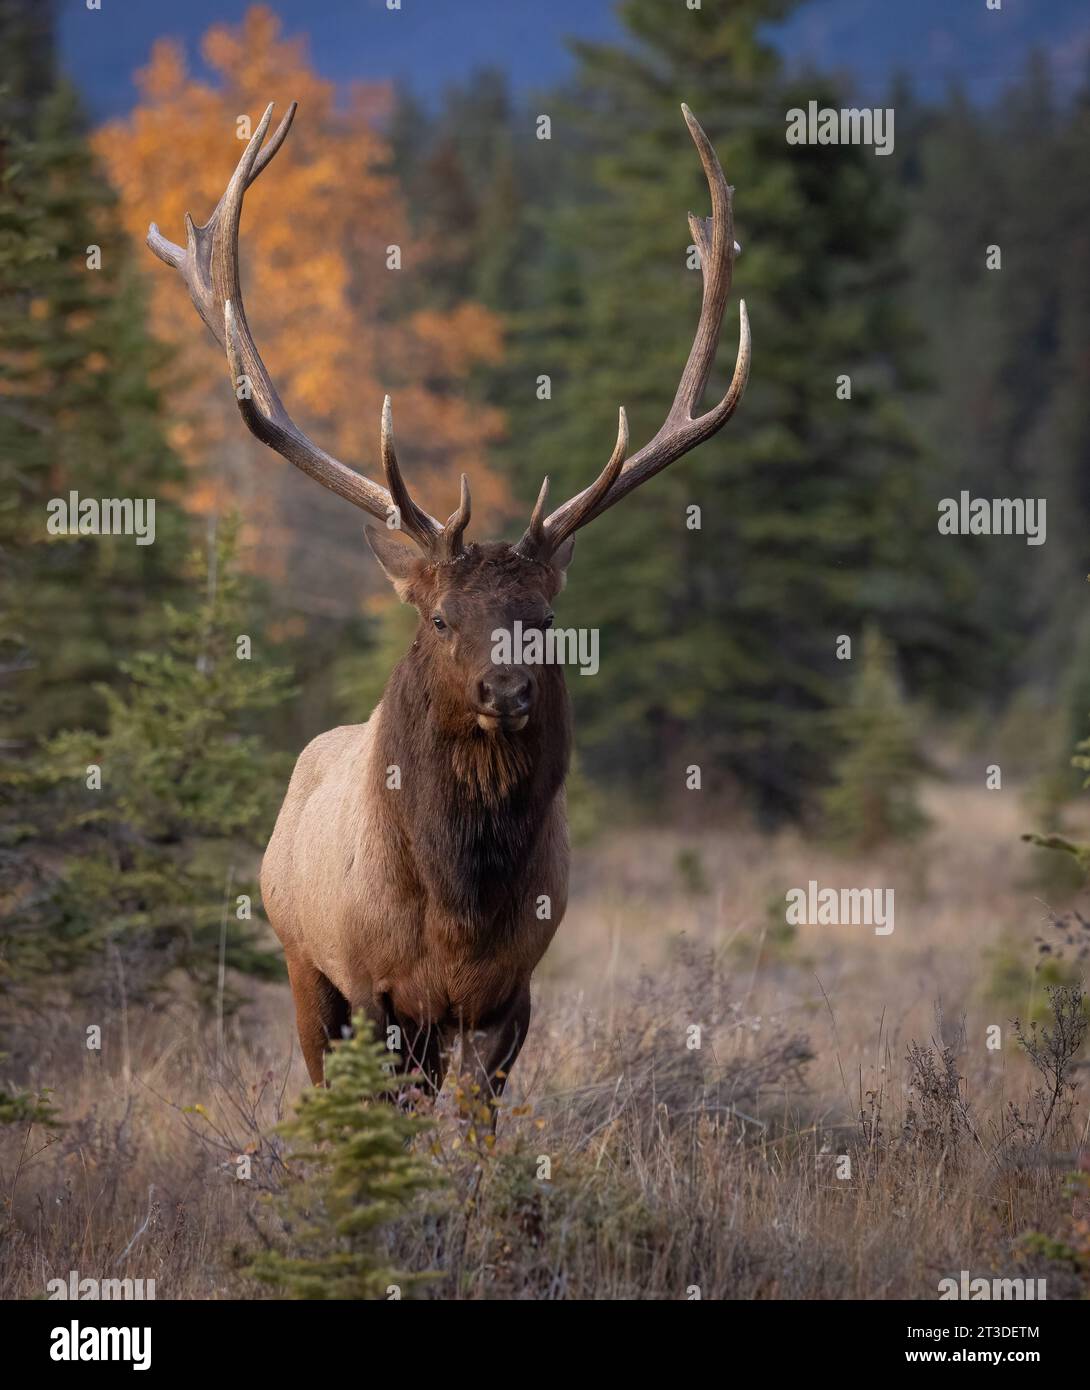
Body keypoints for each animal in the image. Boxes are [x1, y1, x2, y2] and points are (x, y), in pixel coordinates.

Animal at [147, 100, 750, 1113]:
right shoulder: (371, 985)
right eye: (438, 619)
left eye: (544, 620)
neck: (458, 908)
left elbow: (478, 1125)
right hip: (301, 963)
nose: (506, 690)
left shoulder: (511, 993)